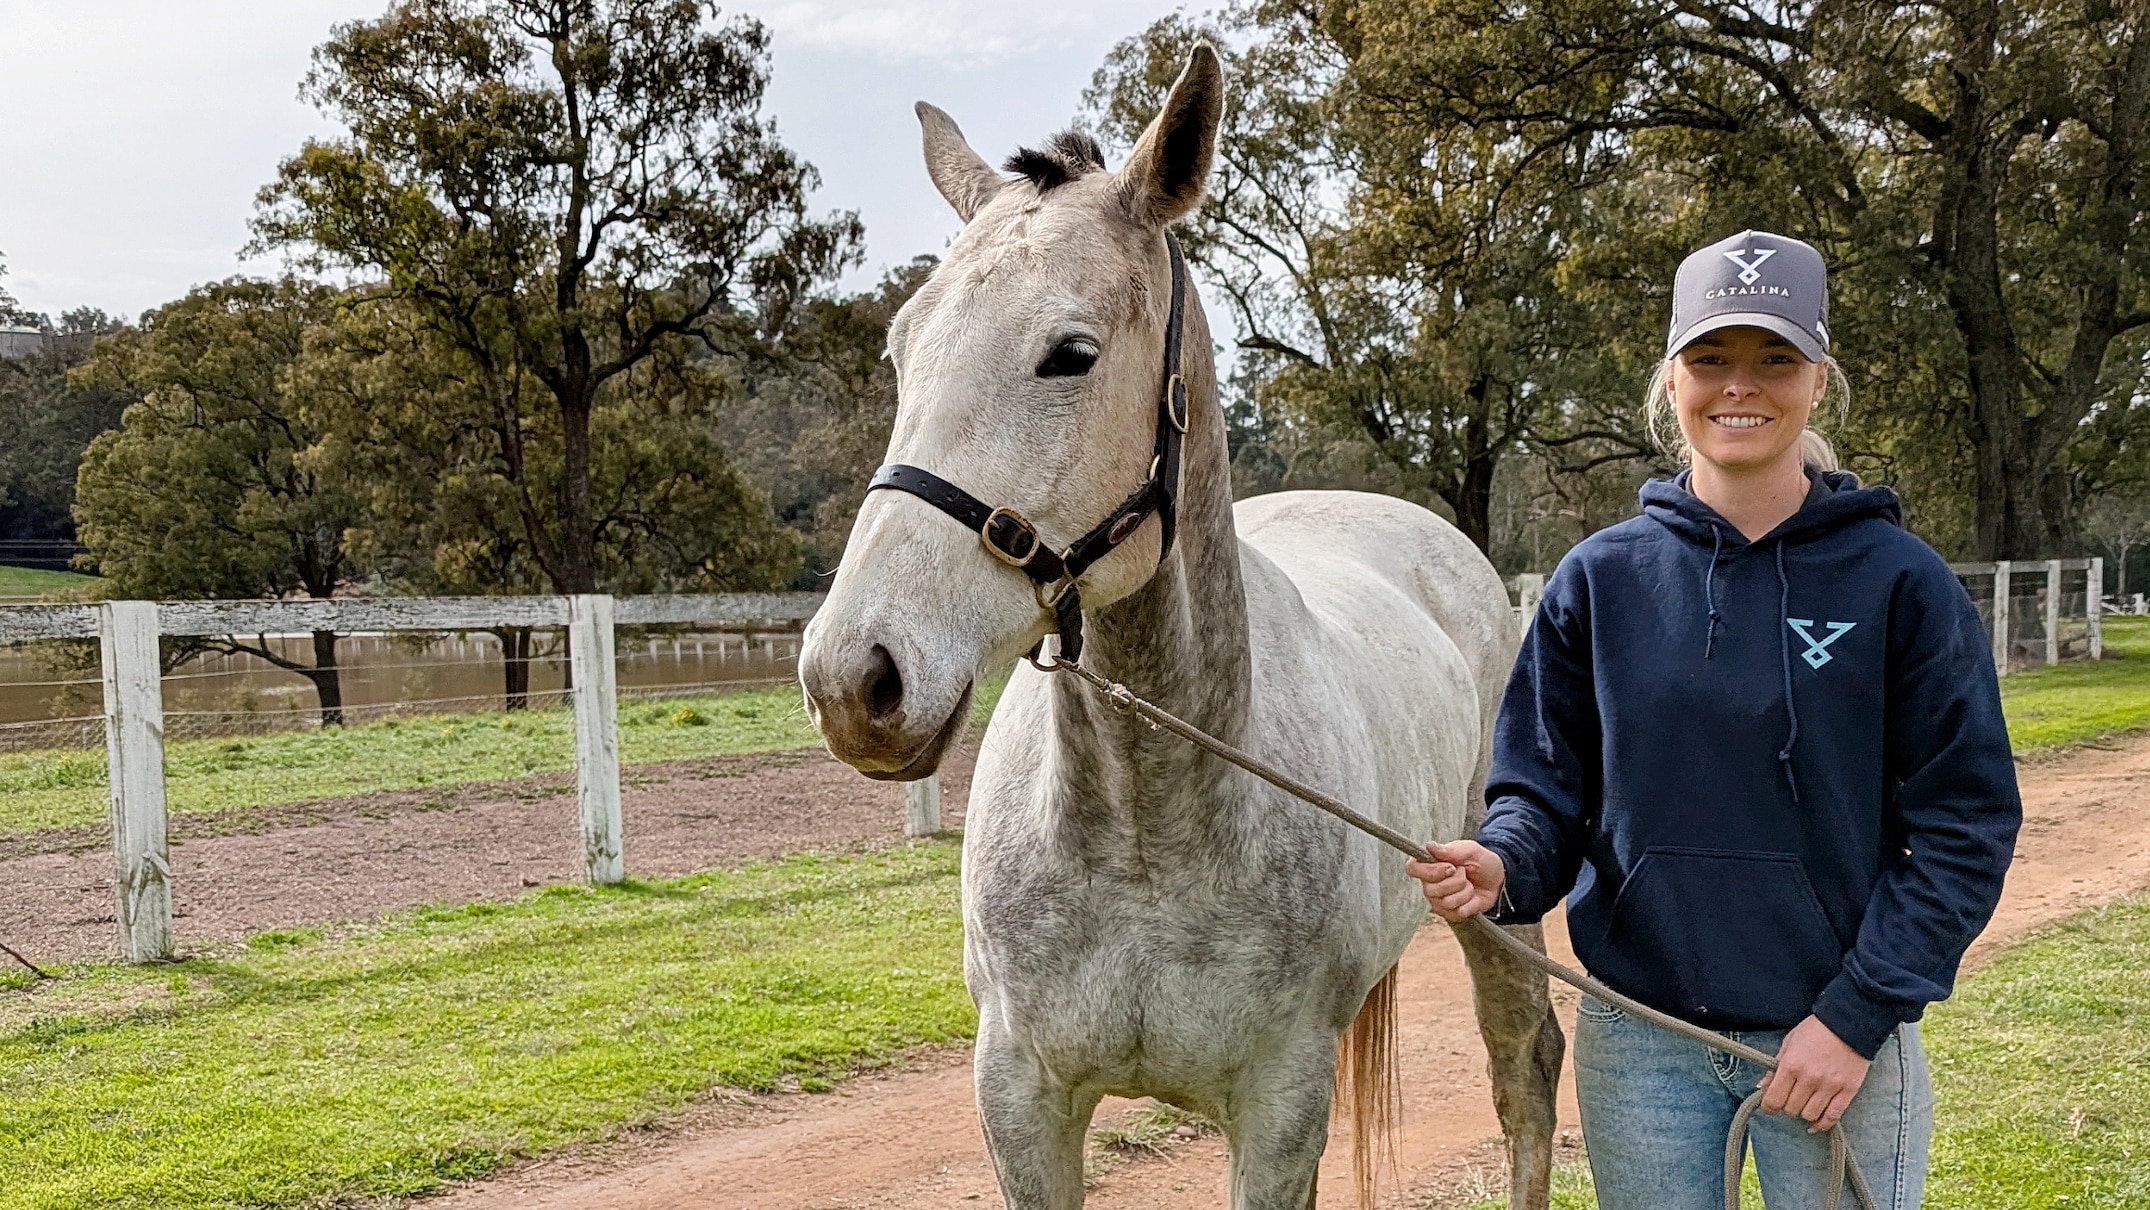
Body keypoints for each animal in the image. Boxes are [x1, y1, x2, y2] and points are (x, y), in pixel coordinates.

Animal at [796, 45, 1563, 1210]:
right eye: (900, 350)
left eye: (1069, 353)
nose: (855, 676)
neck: (1143, 833)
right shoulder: (1020, 1104)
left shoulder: (1279, 1109)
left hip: (1499, 920)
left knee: (1525, 1076)